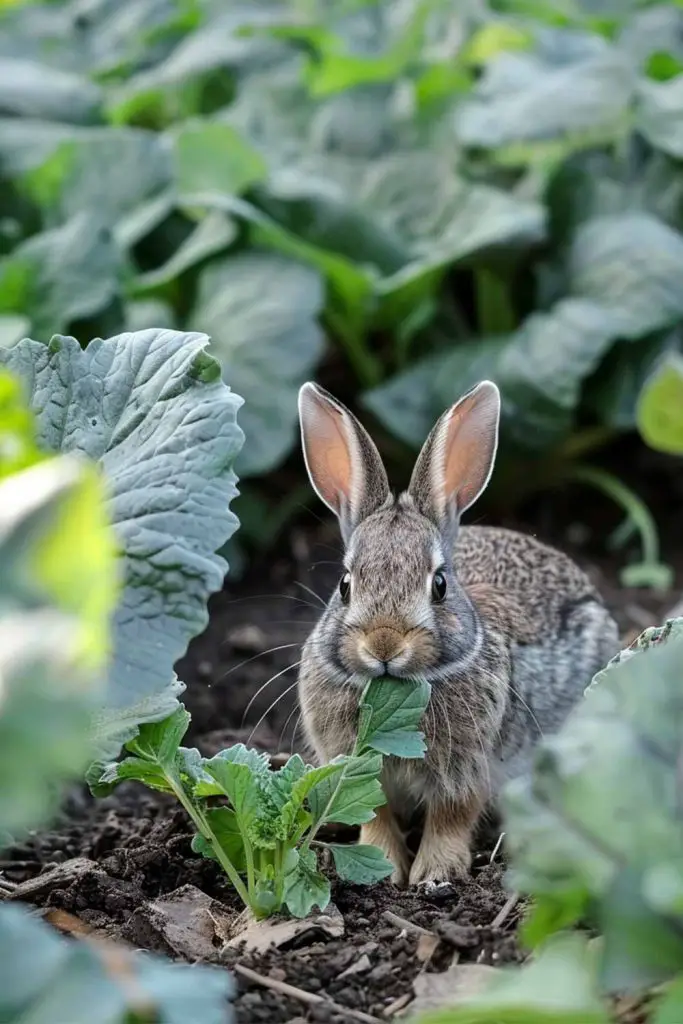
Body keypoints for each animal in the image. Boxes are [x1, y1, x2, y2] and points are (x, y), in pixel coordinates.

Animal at [296, 379, 620, 887]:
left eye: (440, 585)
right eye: (345, 585)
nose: (384, 644)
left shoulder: (468, 767)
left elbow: (452, 816)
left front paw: (434, 874)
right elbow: (373, 815)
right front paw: (385, 868)